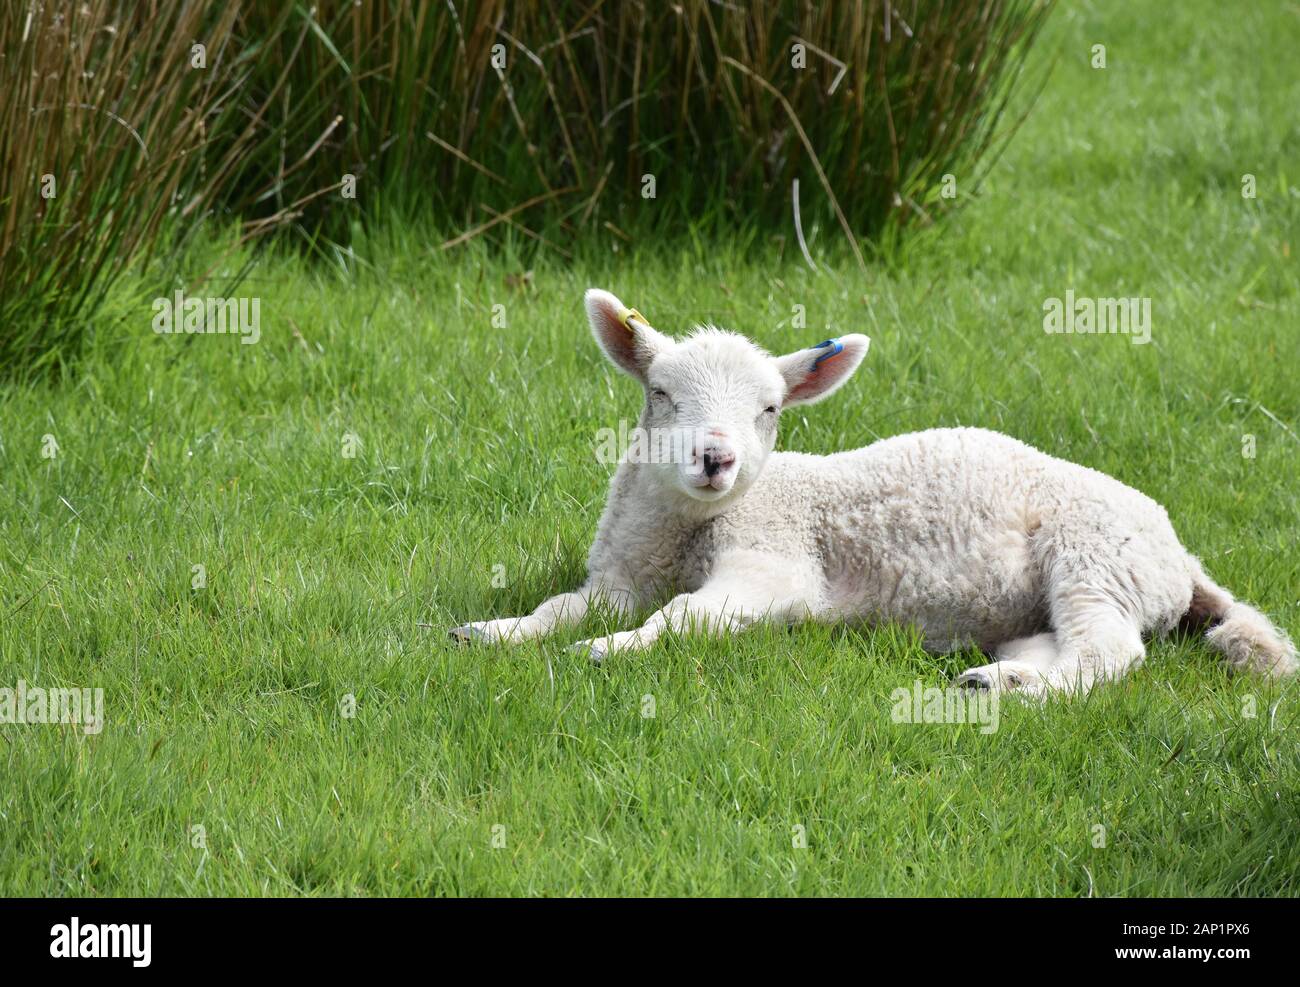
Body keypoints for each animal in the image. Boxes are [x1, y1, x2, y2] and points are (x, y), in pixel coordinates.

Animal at [450, 288, 1297, 695]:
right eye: (660, 392)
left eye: (770, 409)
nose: (716, 458)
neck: (689, 527)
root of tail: (1181, 558)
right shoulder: (619, 576)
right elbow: (558, 608)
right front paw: (490, 632)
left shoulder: (774, 566)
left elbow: (683, 615)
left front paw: (609, 649)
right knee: (1059, 643)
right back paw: (994, 678)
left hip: (1094, 555)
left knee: (1109, 654)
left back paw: (1024, 690)